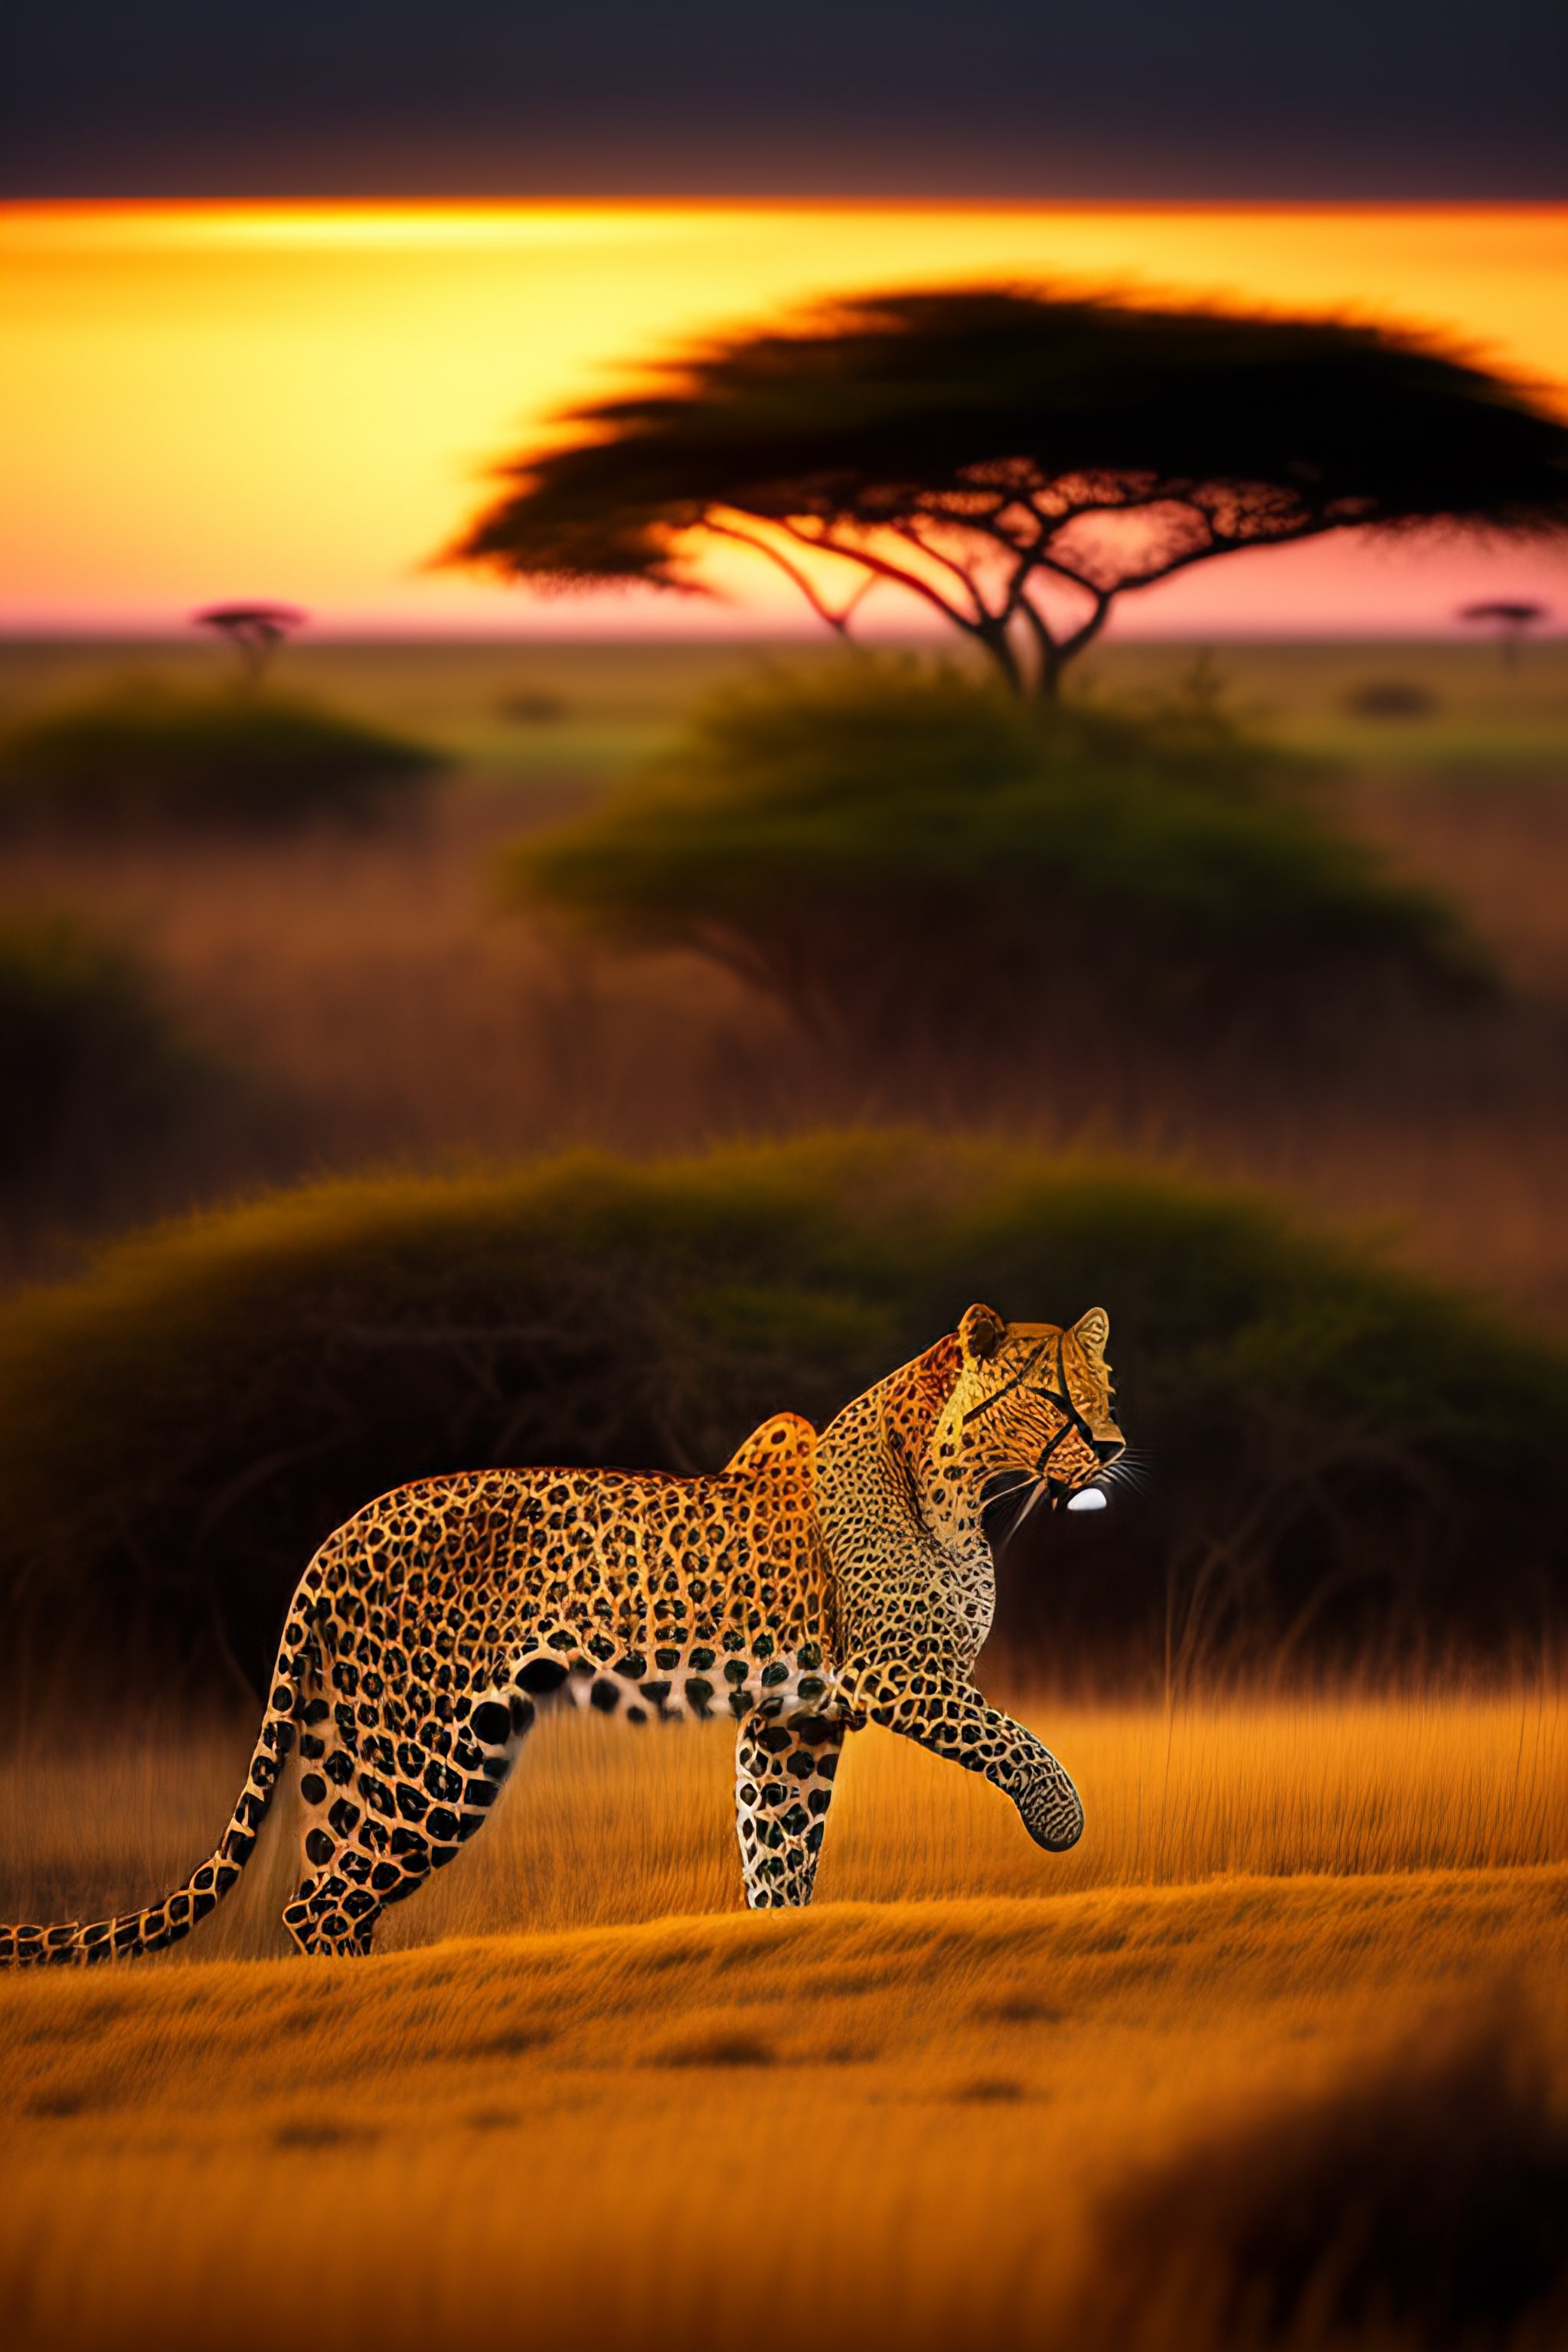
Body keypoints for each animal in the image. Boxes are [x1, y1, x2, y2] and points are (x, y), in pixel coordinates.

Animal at [0, 1301, 1125, 1966]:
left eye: (1104, 1390)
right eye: (1051, 1396)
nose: (1113, 1445)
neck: (968, 1488)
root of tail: (336, 1533)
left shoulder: (794, 1717)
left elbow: (777, 1848)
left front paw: (778, 1946)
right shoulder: (897, 1673)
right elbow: (1010, 1736)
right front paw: (1062, 1821)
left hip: (367, 1753)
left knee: (326, 1886)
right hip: (430, 1760)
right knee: (321, 1902)